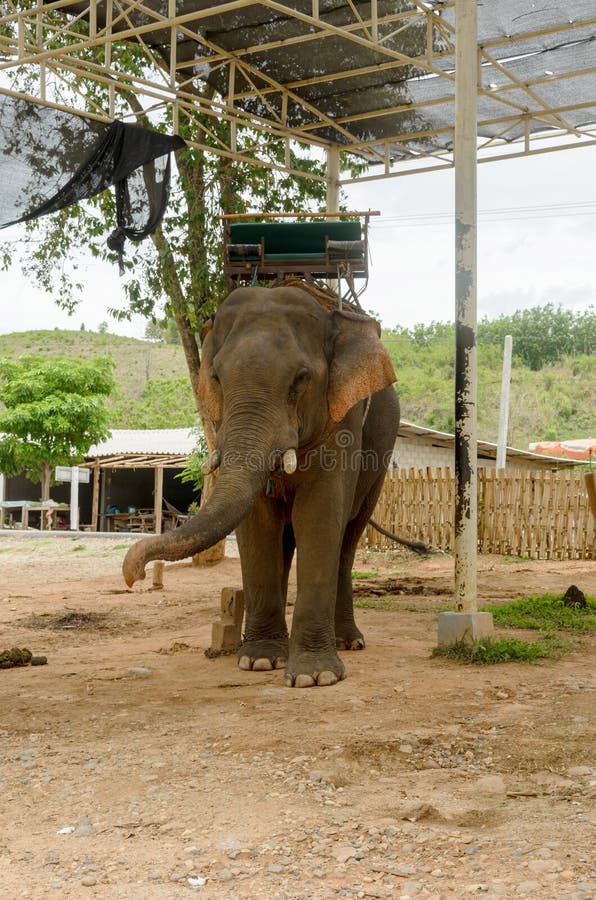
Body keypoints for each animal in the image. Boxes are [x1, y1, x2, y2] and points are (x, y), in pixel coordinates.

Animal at [123, 284, 399, 687]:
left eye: (301, 378)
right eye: (217, 377)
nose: (133, 574)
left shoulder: (343, 421)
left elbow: (319, 514)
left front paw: (314, 677)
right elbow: (258, 523)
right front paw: (260, 661)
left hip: (381, 455)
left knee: (349, 537)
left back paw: (348, 642)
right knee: (284, 539)